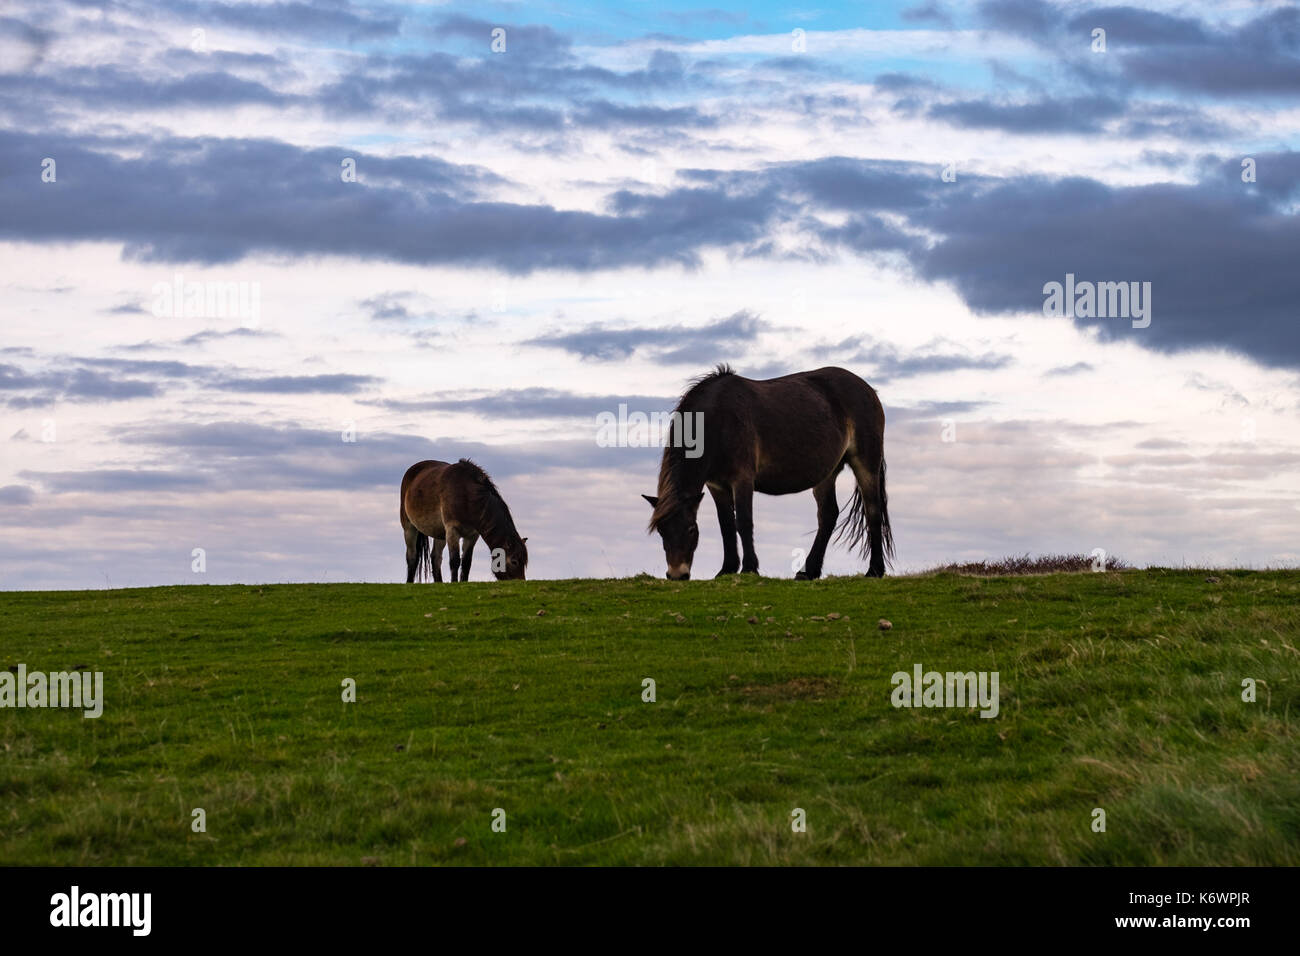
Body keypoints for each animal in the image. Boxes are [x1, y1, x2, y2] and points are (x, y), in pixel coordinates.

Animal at [400, 459, 528, 582]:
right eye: (514, 561)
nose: (521, 582)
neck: (467, 494)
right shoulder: (452, 531)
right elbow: (455, 561)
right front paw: (454, 582)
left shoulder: (472, 535)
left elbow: (466, 563)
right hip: (409, 528)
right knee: (412, 557)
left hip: (440, 533)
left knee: (436, 558)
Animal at [643, 365, 893, 580]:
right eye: (662, 531)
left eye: (691, 529)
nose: (677, 574)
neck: (719, 419)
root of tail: (868, 389)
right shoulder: (716, 486)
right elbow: (726, 525)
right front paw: (726, 569)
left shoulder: (742, 479)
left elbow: (744, 522)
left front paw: (749, 568)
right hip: (827, 473)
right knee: (828, 515)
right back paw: (808, 572)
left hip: (866, 463)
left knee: (873, 511)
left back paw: (874, 571)